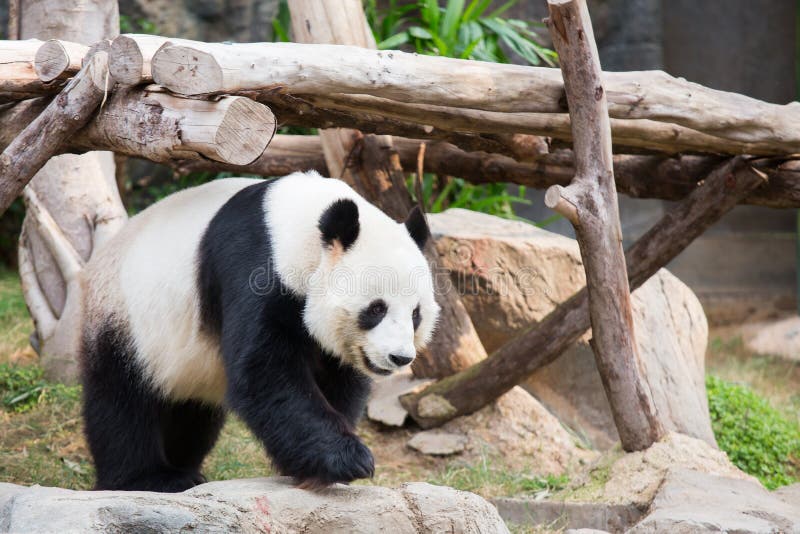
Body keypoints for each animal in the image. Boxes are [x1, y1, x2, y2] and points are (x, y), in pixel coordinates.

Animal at [80, 171, 440, 492]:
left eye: (416, 314)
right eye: (377, 308)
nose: (399, 357)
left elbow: (334, 378)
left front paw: (313, 468)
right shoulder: (253, 266)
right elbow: (264, 372)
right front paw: (349, 460)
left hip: (186, 364)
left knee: (192, 414)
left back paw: (184, 469)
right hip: (125, 321)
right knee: (121, 405)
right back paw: (148, 479)